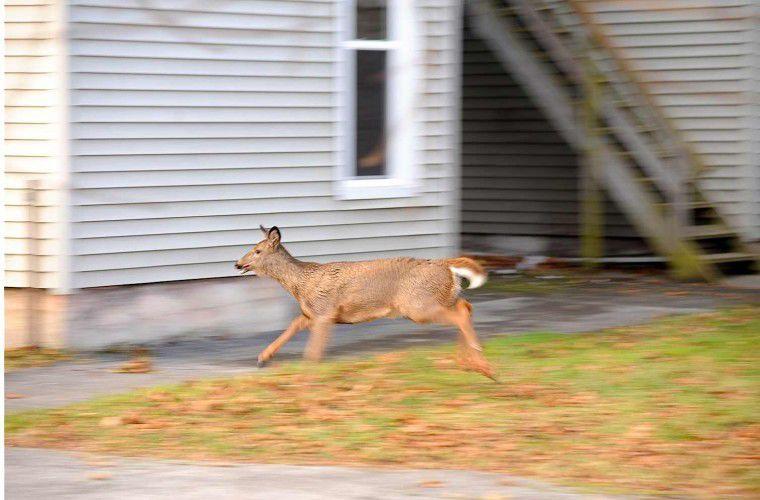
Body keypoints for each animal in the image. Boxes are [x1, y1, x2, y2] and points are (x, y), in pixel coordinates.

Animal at [235, 225, 496, 380]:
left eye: (257, 251)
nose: (238, 264)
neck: (301, 283)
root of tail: (446, 265)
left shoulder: (325, 312)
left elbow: (314, 349)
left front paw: (309, 370)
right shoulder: (312, 313)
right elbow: (291, 326)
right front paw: (263, 358)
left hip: (418, 305)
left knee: (461, 313)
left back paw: (483, 365)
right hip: (438, 299)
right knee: (466, 307)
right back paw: (467, 362)